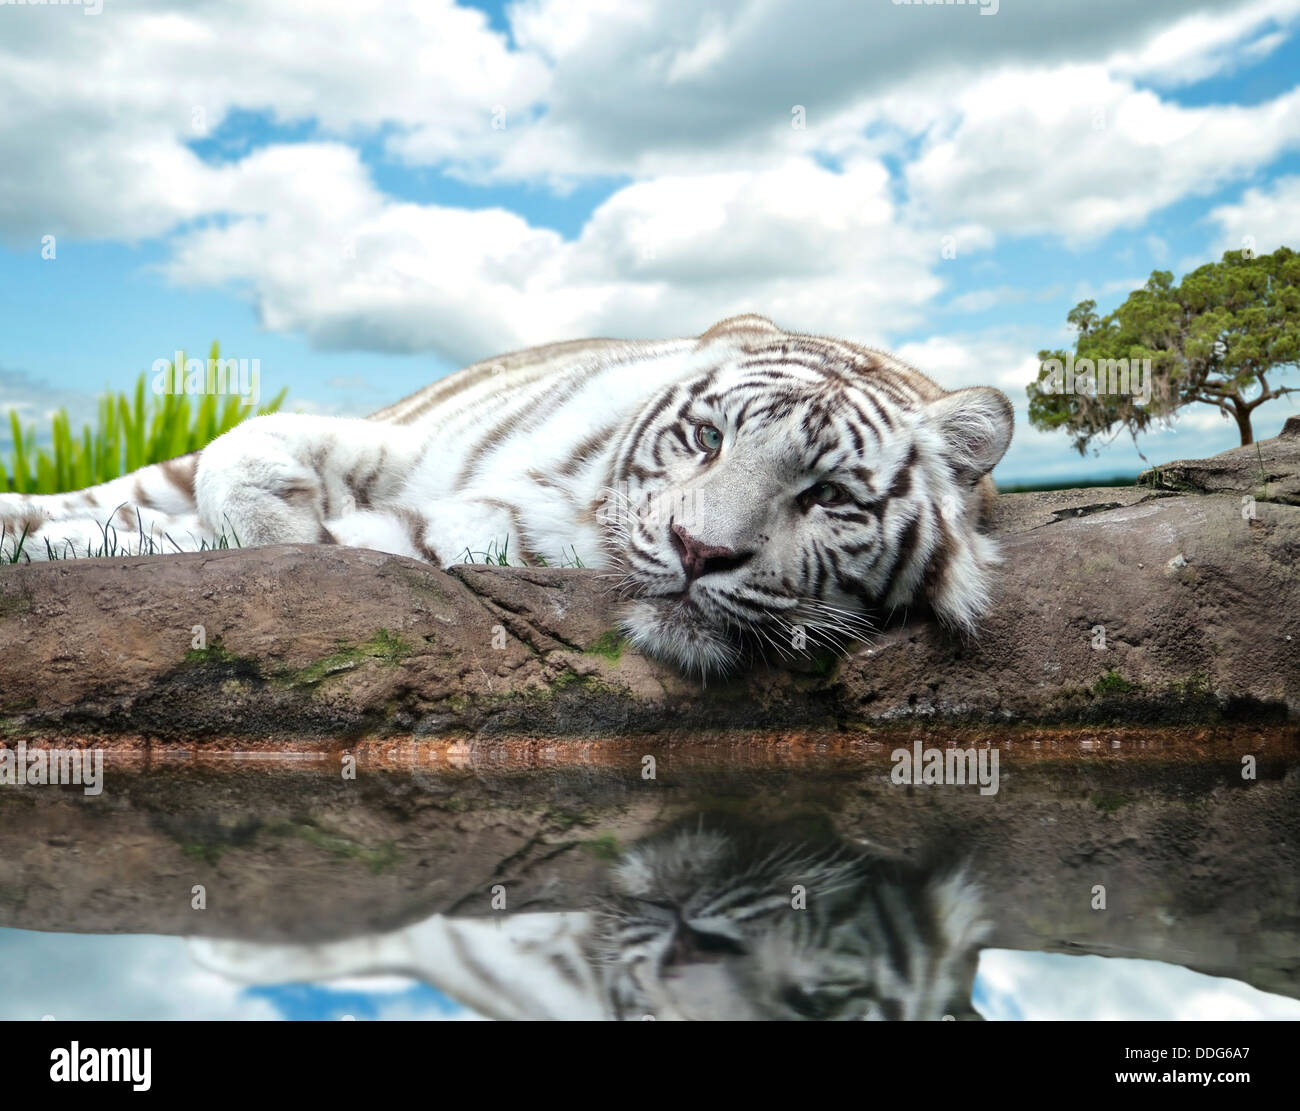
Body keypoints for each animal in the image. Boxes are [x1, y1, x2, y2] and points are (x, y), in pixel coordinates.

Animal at [0, 315, 1014, 675]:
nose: (701, 553)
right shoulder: (397, 443)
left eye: (830, 494)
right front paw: (268, 523)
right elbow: (241, 455)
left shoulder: (450, 528)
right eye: (707, 439)